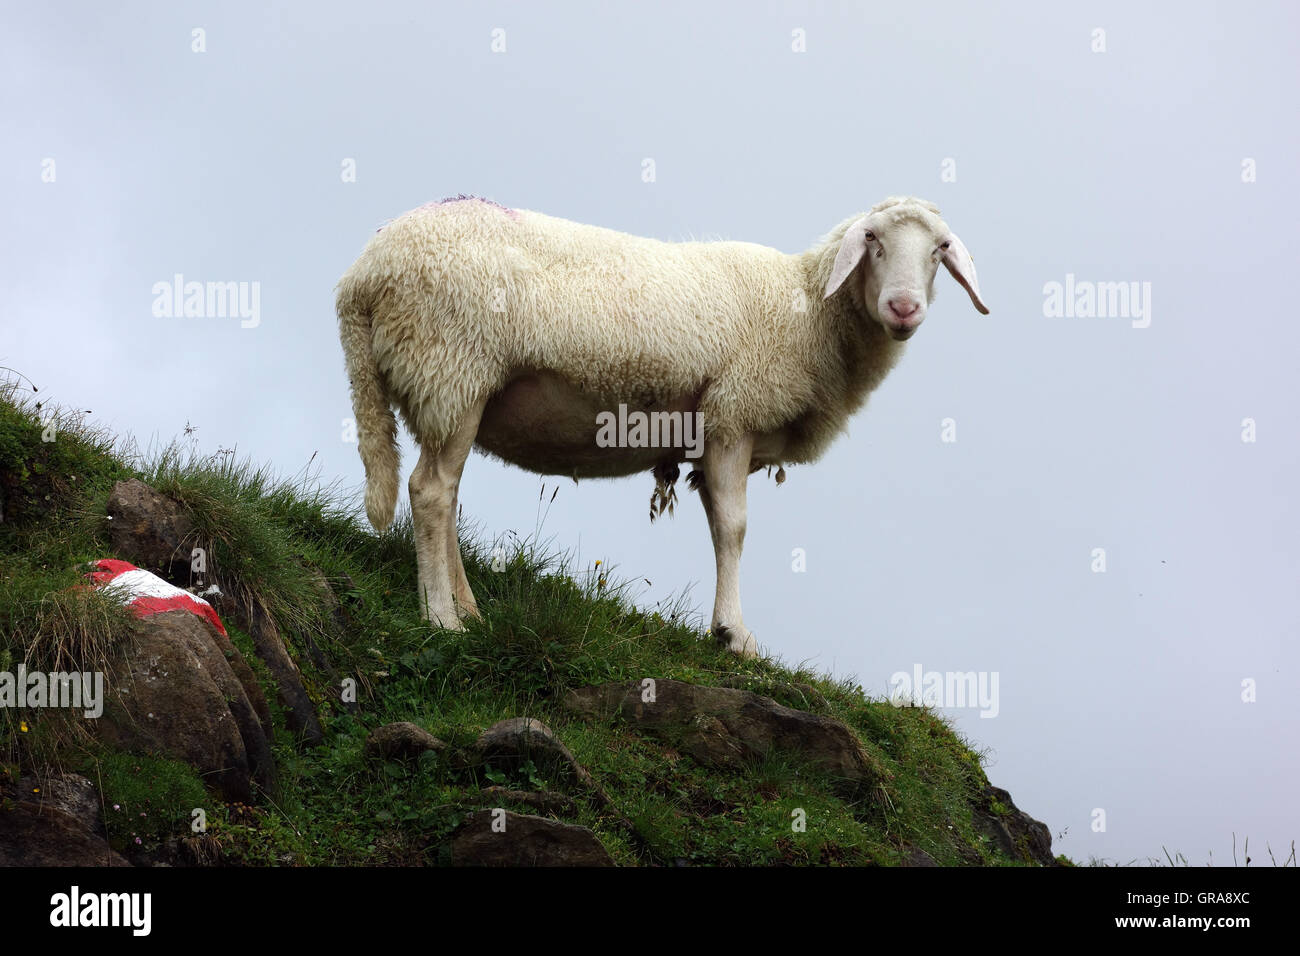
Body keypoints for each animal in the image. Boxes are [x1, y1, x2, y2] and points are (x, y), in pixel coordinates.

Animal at [337, 194, 988, 658]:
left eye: (940, 248)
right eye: (873, 239)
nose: (903, 308)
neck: (806, 311)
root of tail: (361, 278)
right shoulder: (732, 415)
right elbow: (733, 529)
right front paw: (733, 635)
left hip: (446, 387)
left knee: (445, 494)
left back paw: (466, 608)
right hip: (452, 364)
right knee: (429, 492)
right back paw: (442, 619)